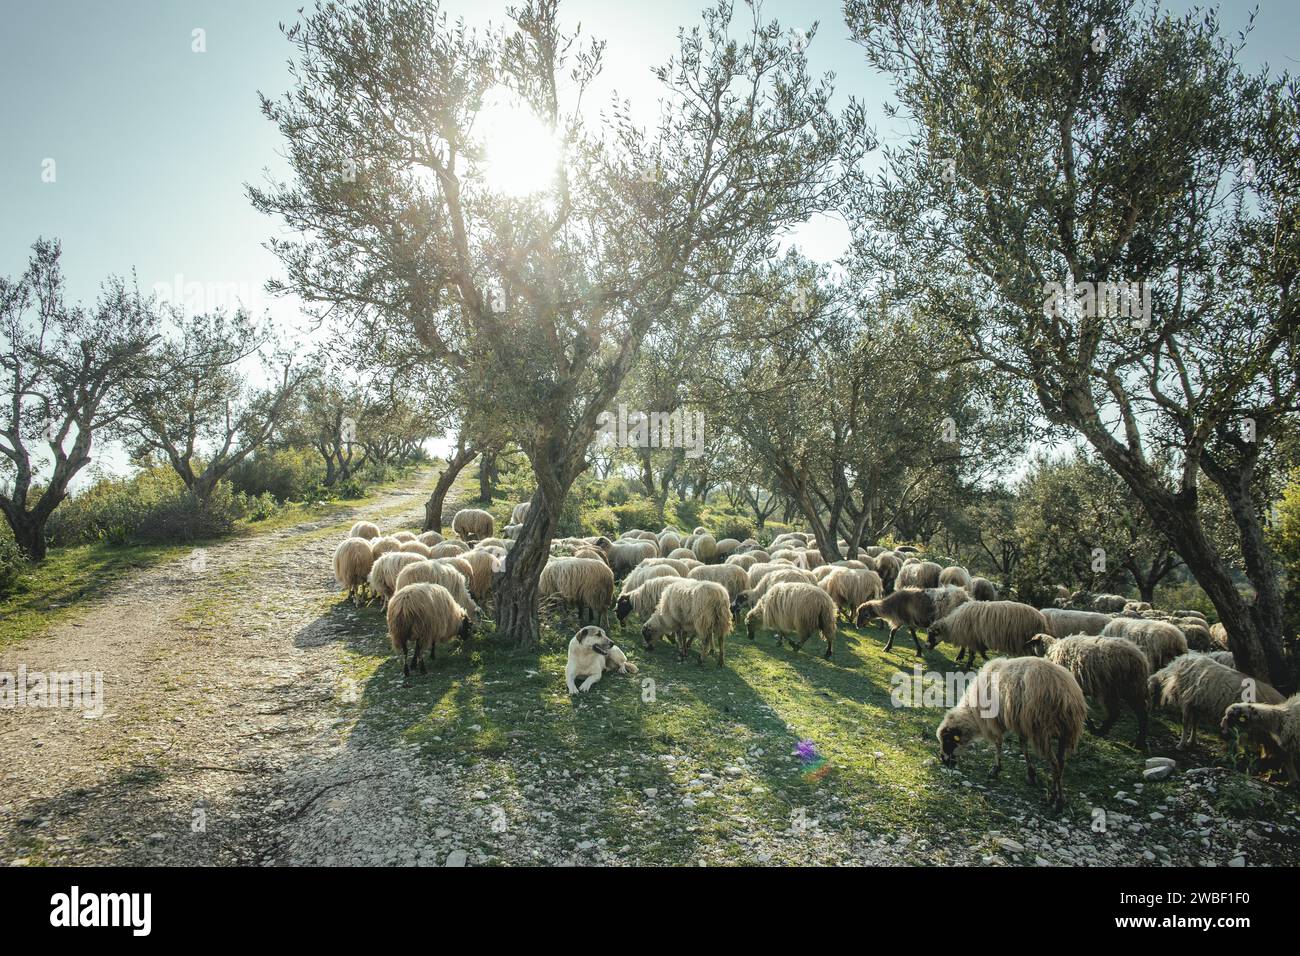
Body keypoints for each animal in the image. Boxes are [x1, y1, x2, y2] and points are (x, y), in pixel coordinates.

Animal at [937, 656, 1087, 811]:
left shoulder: (995, 721)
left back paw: (1055, 800)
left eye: (947, 740)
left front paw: (996, 769)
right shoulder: (1021, 725)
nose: (943, 760)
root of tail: (1066, 693)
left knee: (1055, 764)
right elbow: (1023, 747)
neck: (973, 713)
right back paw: (1059, 797)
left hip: (1042, 731)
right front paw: (1031, 775)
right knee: (1061, 763)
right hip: (1066, 733)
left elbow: (998, 743)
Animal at [1149, 653, 1286, 750]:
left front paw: (1181, 744)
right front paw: (1191, 741)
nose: (1151, 714)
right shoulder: (1196, 703)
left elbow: (1185, 723)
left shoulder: (1186, 702)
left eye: (1150, 693)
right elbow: (1195, 723)